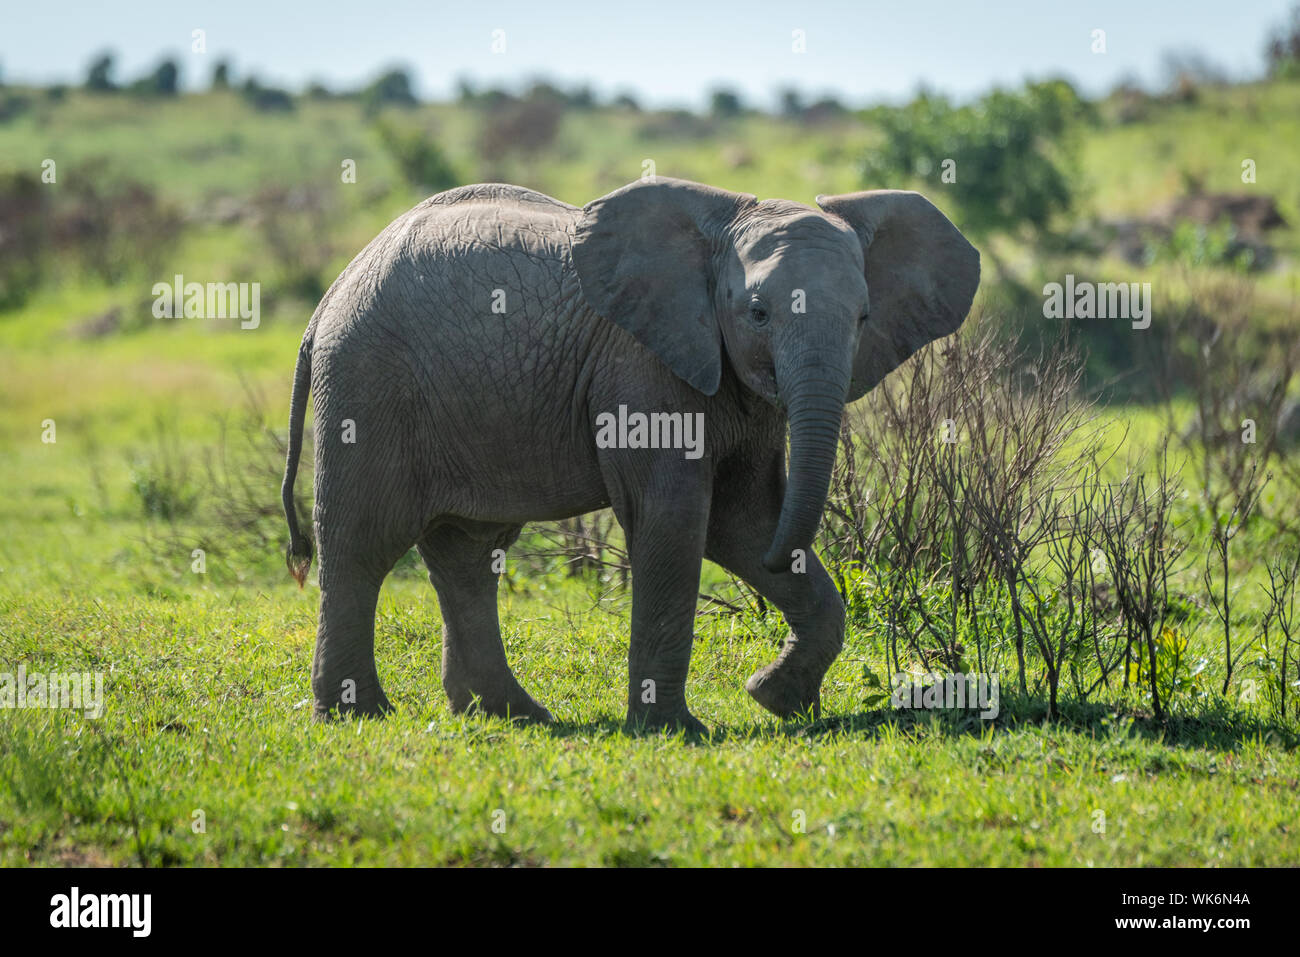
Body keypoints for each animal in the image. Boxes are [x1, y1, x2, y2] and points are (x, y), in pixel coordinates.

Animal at [280, 177, 979, 733]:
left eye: (863, 318)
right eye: (757, 313)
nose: (790, 557)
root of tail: (329, 297)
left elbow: (743, 522)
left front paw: (774, 698)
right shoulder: (642, 366)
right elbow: (675, 520)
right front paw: (676, 731)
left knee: (469, 552)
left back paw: (512, 716)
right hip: (367, 385)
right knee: (362, 543)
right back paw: (359, 715)